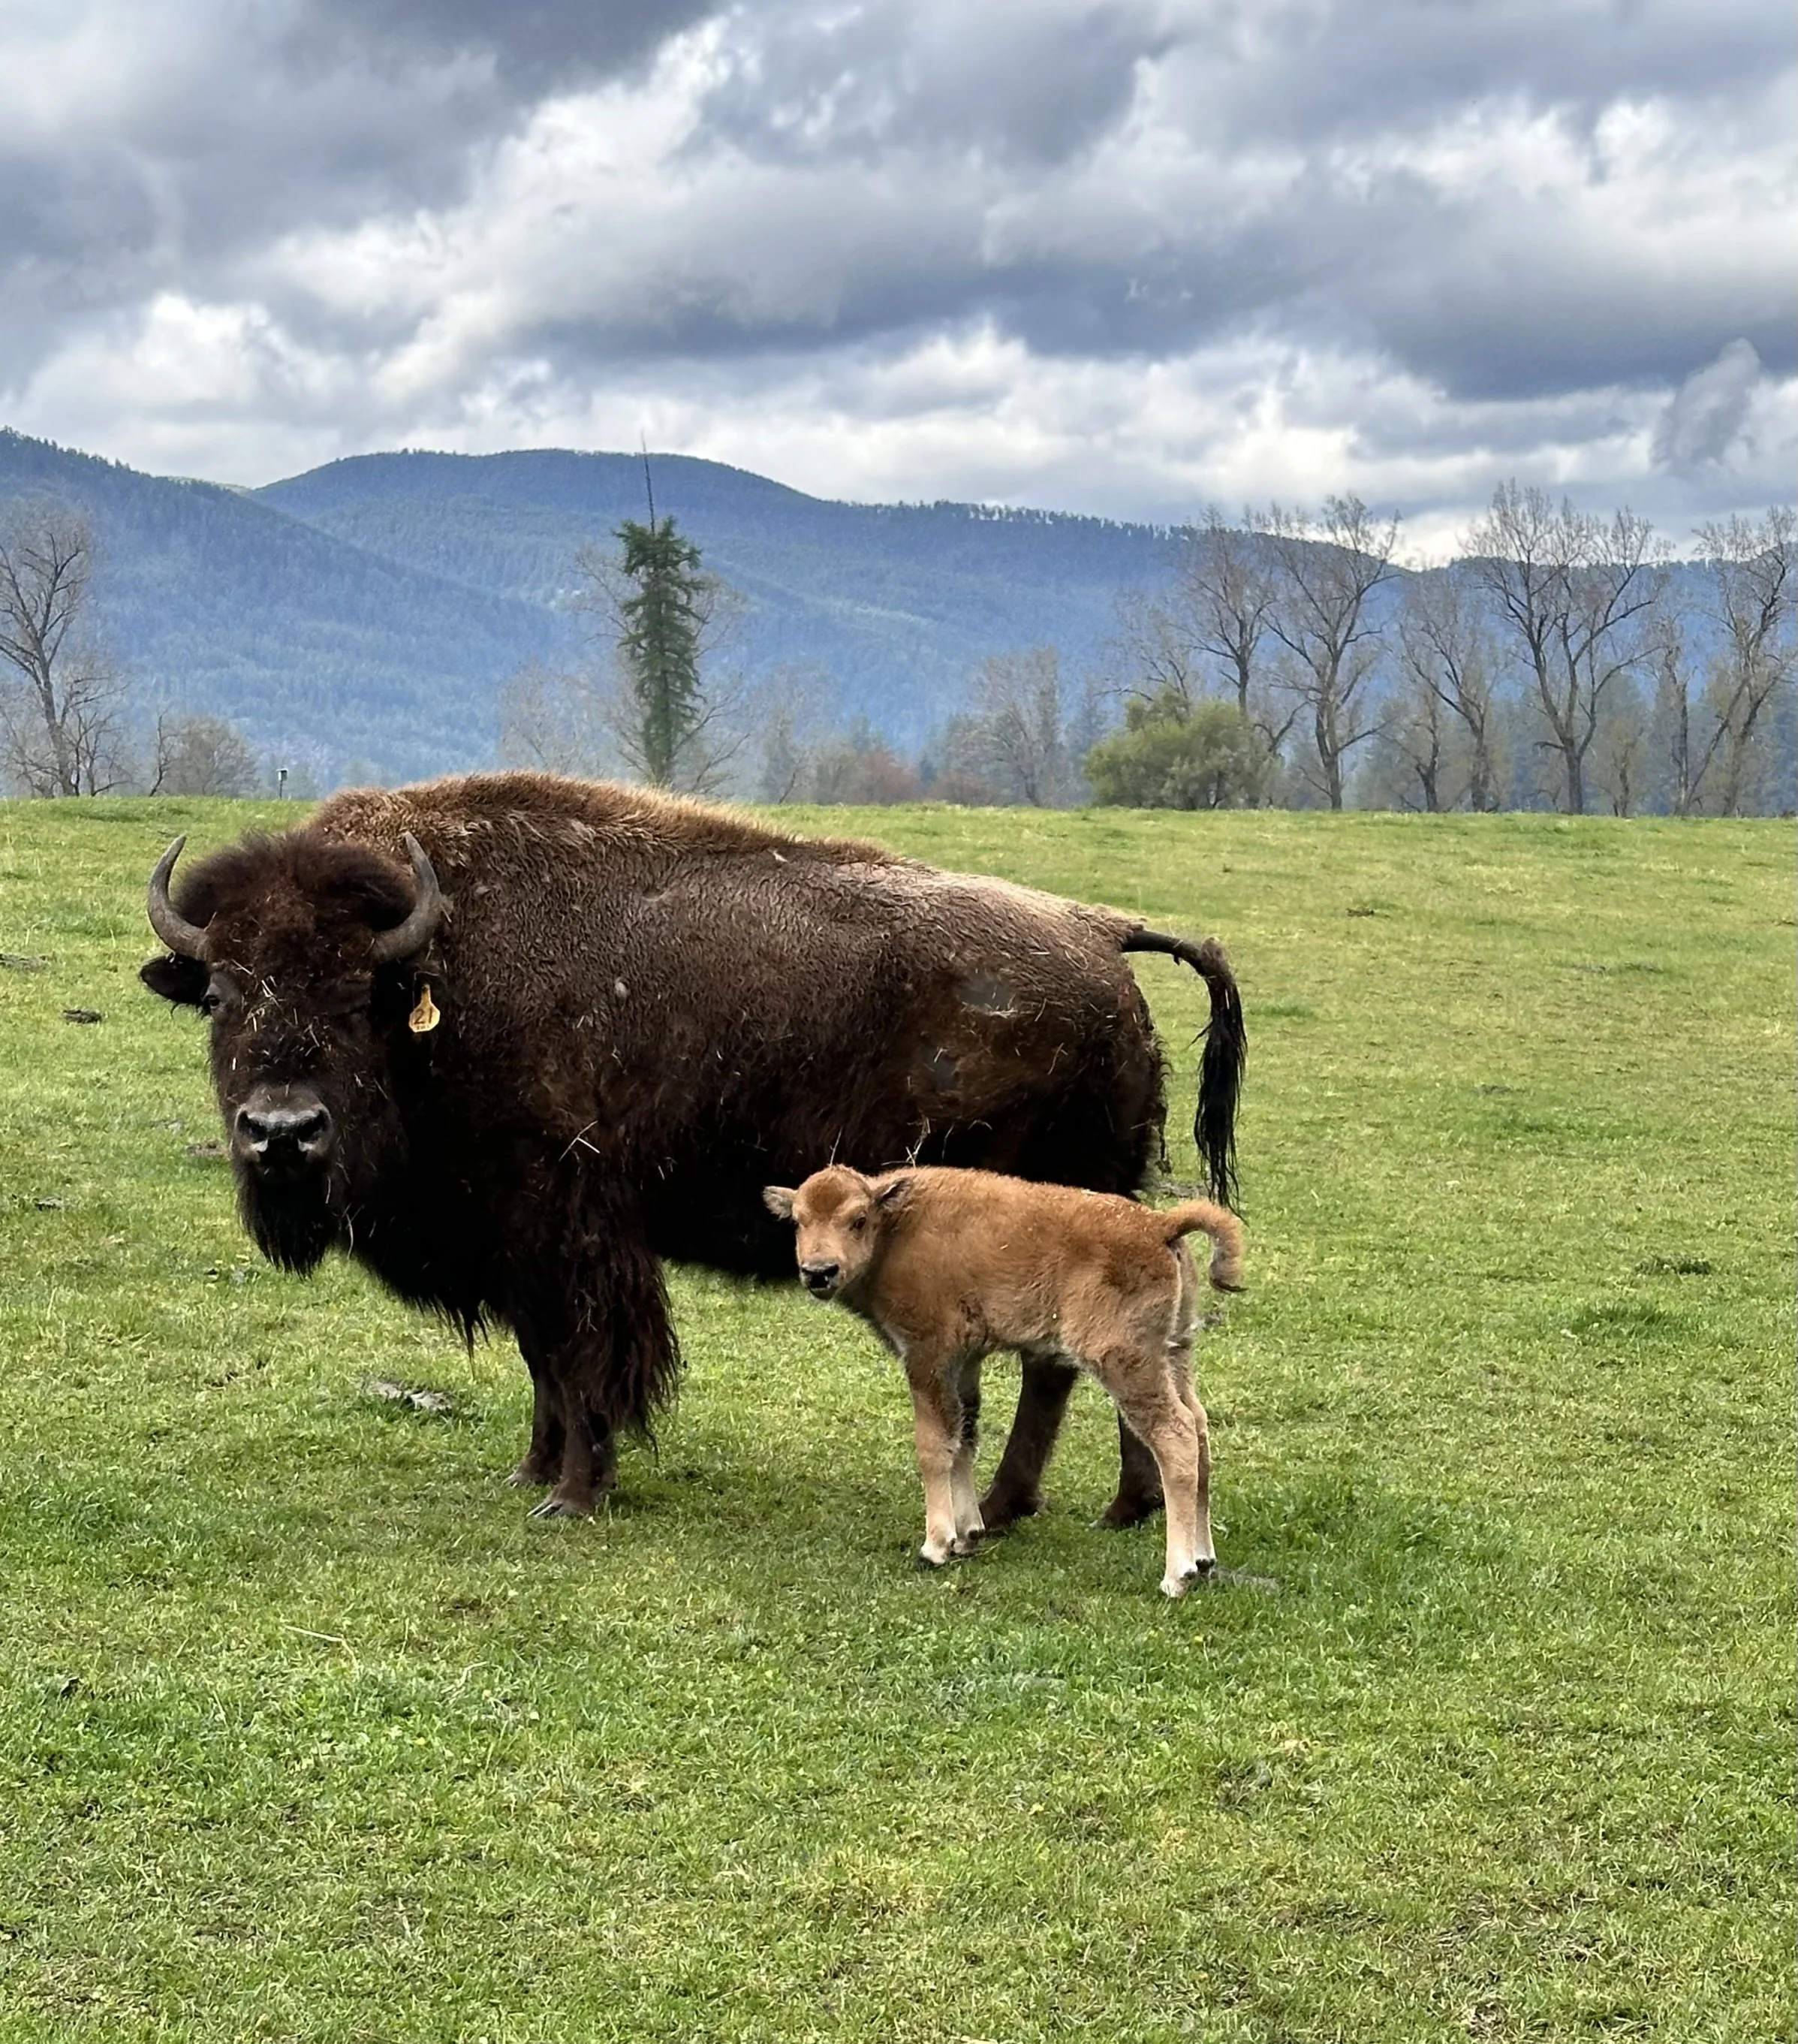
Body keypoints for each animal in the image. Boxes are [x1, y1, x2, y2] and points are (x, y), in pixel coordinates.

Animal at [141, 772, 1243, 1524]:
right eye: (224, 993)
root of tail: (1099, 933)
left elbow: (584, 1360)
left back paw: (1033, 1505)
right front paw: (532, 1470)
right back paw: (1116, 1506)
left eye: (352, 997)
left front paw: (573, 1496)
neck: (440, 969)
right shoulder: (519, 1246)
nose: (282, 1133)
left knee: (1068, 1365)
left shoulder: (569, 1231)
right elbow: (544, 1363)